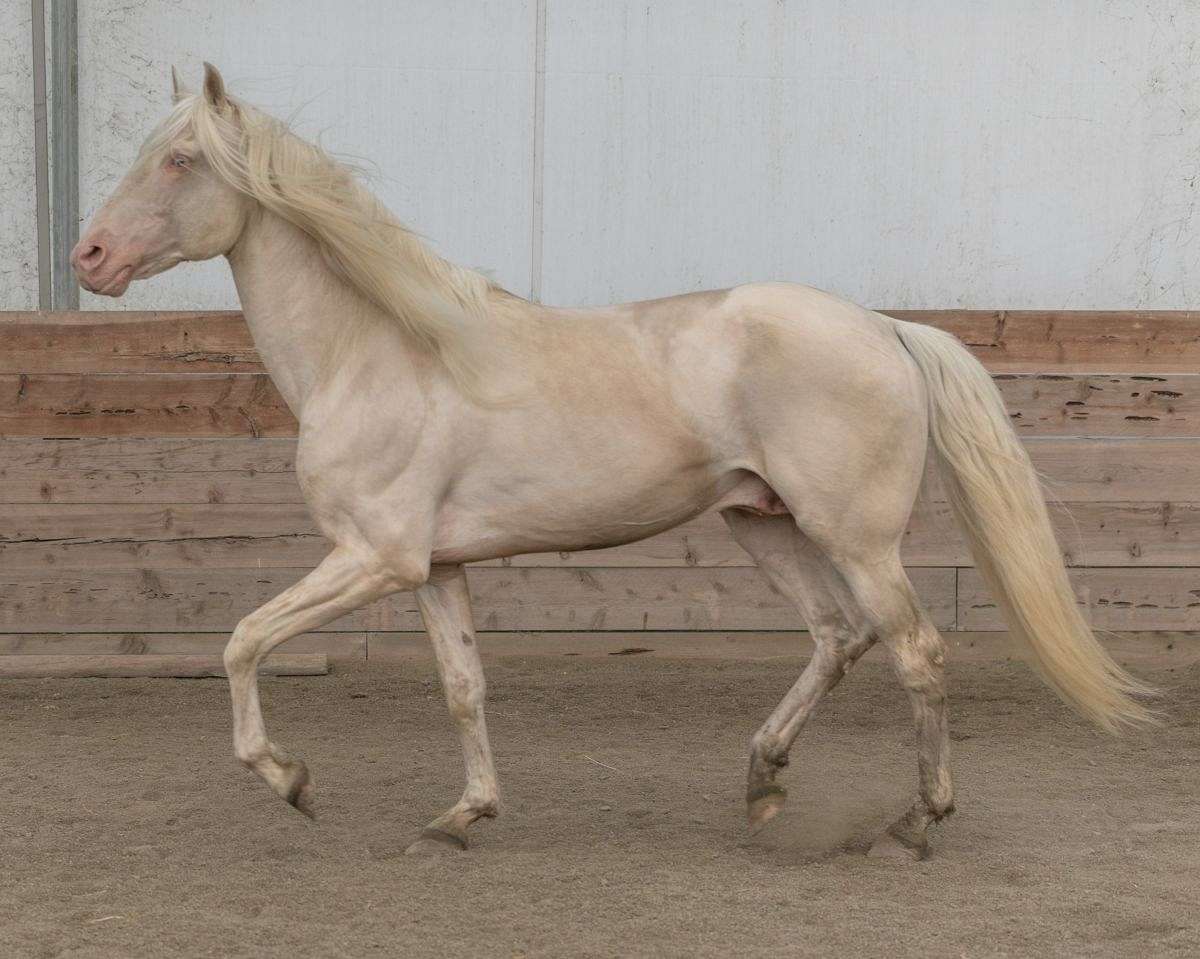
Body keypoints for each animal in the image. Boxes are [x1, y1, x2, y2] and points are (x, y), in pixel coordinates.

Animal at [72, 63, 1153, 860]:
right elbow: (462, 687)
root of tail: (885, 327)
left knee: (915, 650)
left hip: (855, 537)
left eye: (179, 159)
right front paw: (462, 817)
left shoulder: (373, 557)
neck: (376, 351)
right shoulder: (435, 567)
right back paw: (762, 781)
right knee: (838, 637)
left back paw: (916, 820)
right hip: (763, 523)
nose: (89, 258)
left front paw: (290, 779)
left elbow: (242, 640)